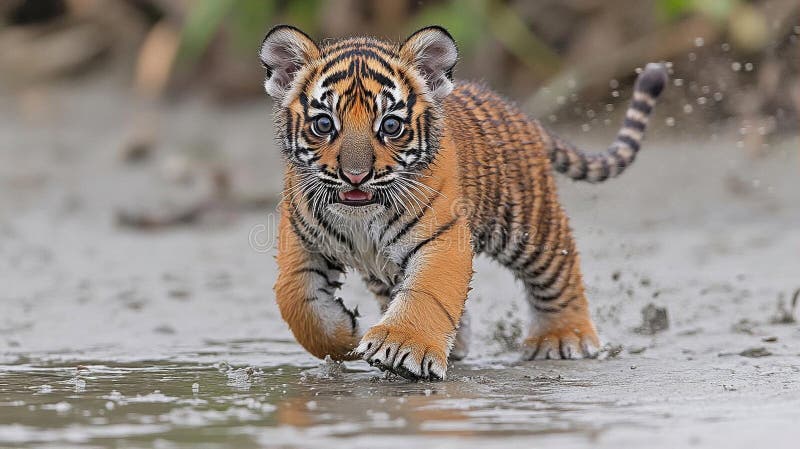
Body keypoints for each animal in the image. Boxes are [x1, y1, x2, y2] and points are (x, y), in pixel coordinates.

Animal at [260, 25, 667, 380]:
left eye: (390, 126)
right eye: (324, 125)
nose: (355, 176)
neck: (359, 218)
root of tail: (523, 115)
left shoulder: (442, 238)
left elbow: (428, 291)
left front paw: (403, 350)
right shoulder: (300, 241)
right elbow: (296, 300)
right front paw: (349, 333)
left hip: (527, 226)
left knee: (560, 268)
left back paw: (564, 336)